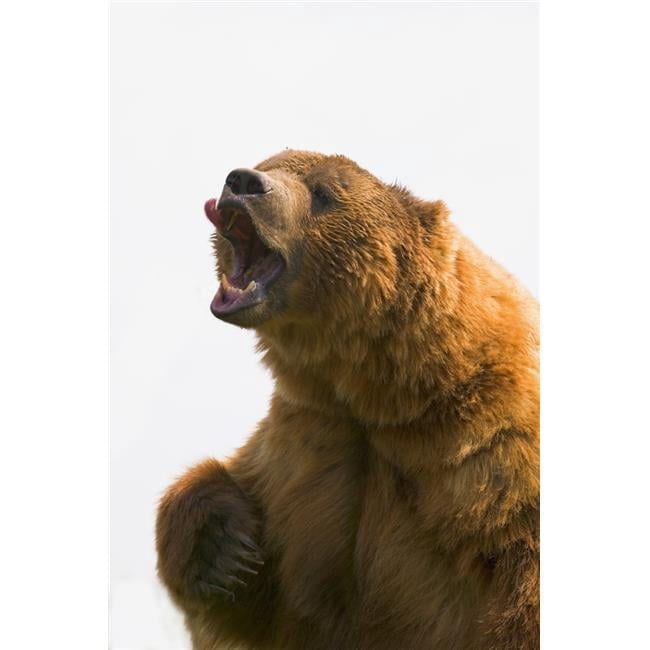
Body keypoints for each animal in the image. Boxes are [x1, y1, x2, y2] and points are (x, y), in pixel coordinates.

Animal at [156, 150, 539, 649]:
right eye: (269, 162)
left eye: (323, 193)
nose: (242, 181)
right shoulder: (312, 439)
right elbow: (272, 603)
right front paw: (223, 546)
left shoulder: (490, 455)